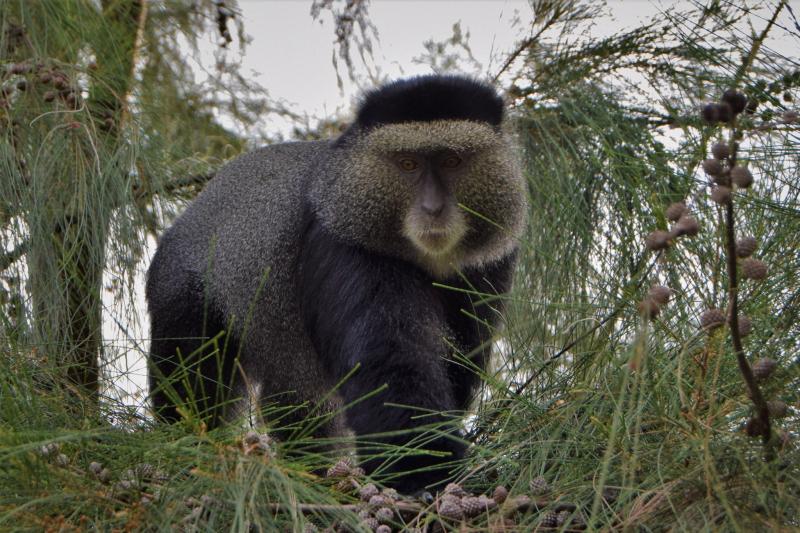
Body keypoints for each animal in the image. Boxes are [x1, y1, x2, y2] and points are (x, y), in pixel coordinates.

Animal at [146, 74, 528, 492]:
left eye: (451, 161)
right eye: (407, 164)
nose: (432, 208)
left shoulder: (488, 265)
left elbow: (459, 363)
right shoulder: (347, 247)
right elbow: (388, 364)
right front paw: (425, 476)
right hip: (184, 291)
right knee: (193, 376)